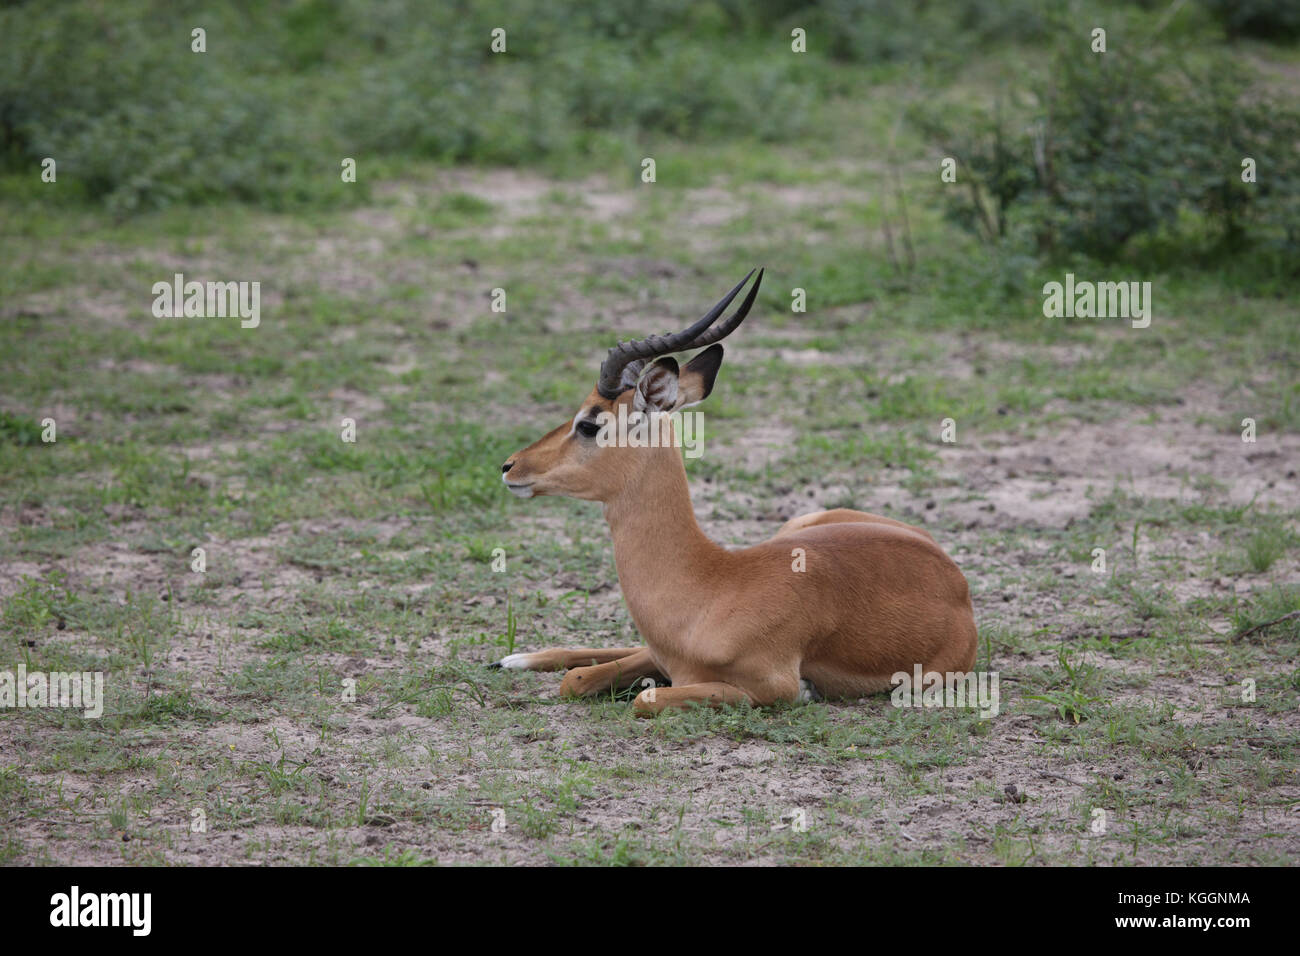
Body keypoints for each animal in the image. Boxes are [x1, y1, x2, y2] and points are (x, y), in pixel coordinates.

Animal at [494, 269, 977, 716]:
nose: (509, 466)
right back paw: (514, 658)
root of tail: (958, 580)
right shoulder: (664, 656)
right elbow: (576, 679)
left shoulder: (765, 687)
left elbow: (644, 698)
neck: (713, 588)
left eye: (590, 423)